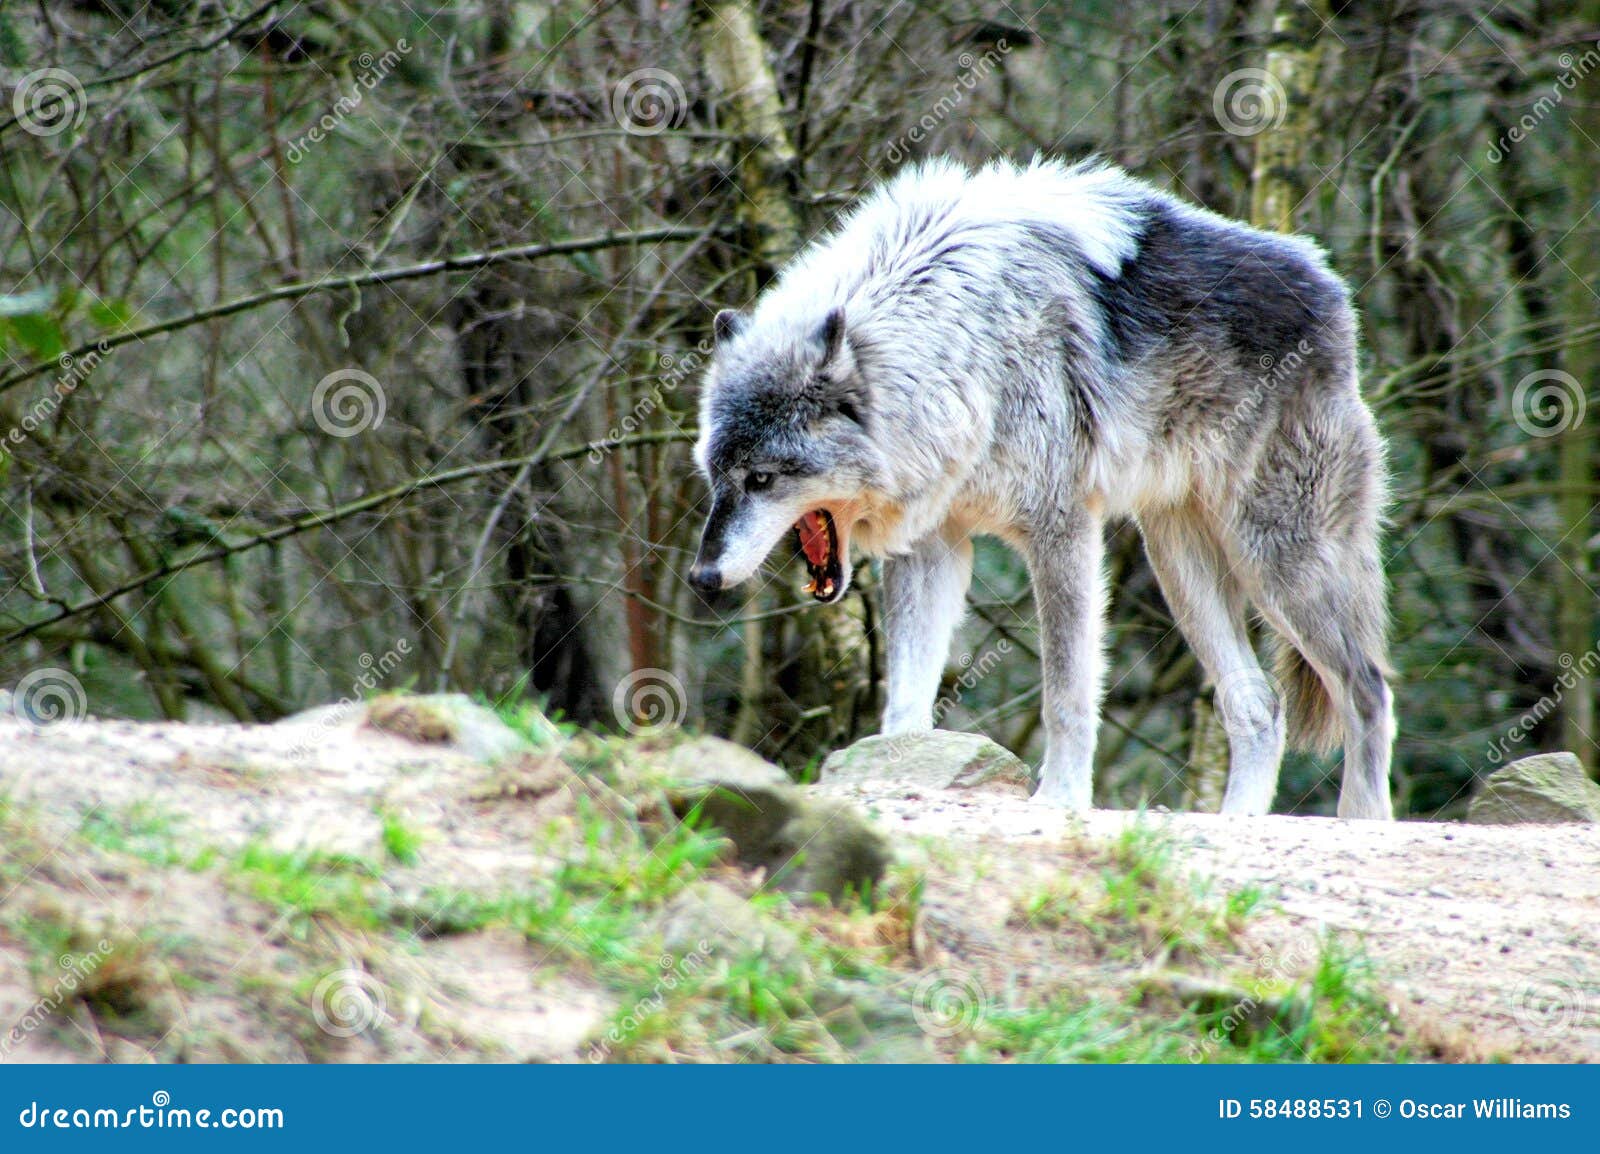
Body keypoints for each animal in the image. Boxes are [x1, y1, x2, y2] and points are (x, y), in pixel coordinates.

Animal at [689, 157, 1395, 819]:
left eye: (761, 478)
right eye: (716, 476)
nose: (702, 578)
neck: (964, 351)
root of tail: (1333, 289)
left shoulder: (1062, 530)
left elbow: (1066, 693)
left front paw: (1061, 797)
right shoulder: (932, 548)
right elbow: (905, 702)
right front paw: (894, 770)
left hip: (1275, 561)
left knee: (1367, 688)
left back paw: (1361, 818)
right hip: (1180, 567)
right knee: (1259, 707)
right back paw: (1238, 820)